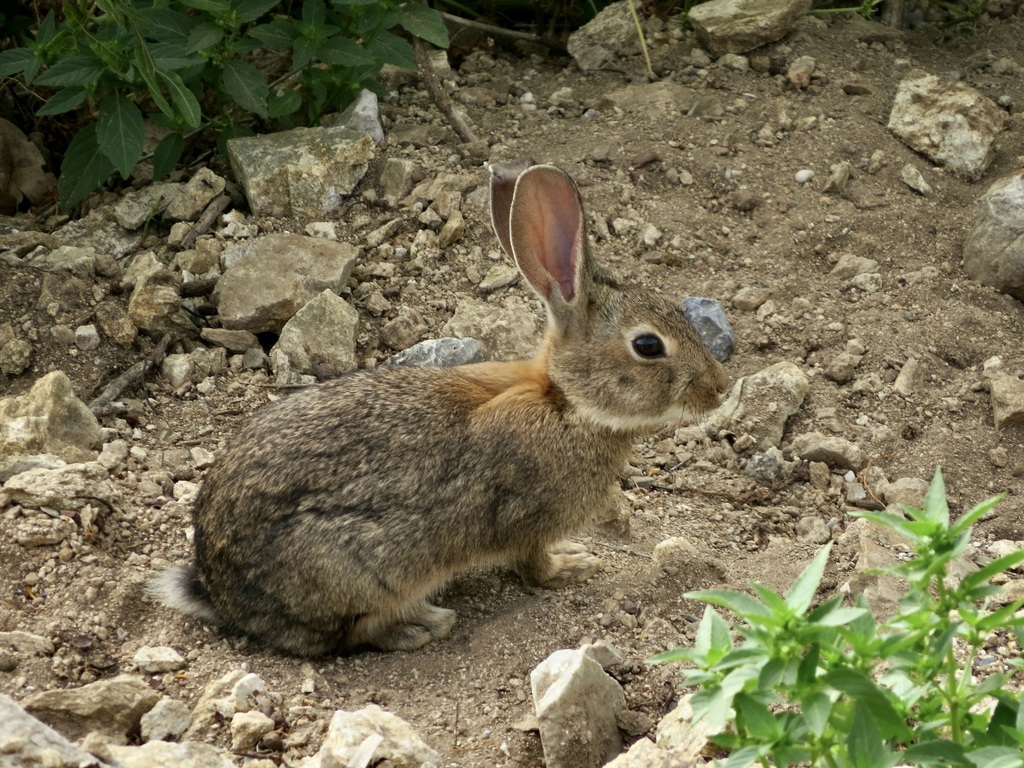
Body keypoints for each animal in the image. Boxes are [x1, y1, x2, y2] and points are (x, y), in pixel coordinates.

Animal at [150, 160, 729, 657]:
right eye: (648, 346)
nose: (720, 389)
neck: (566, 401)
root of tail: (217, 590)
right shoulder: (528, 522)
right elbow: (533, 566)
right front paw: (573, 565)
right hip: (363, 571)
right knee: (349, 635)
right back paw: (420, 625)